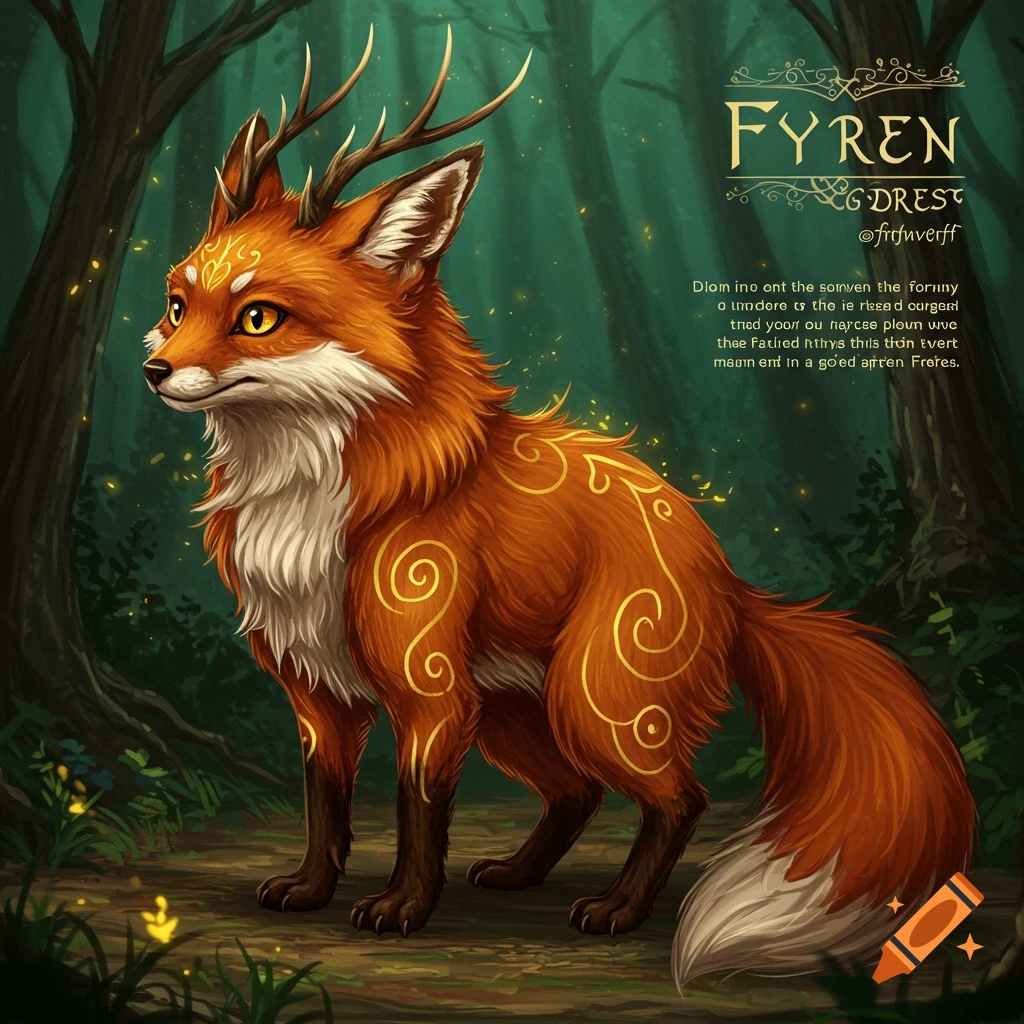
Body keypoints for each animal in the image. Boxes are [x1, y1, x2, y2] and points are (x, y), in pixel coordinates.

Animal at [142, 27, 974, 990]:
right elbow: (327, 801)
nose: (153, 370)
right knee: (578, 791)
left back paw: (618, 910)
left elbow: (417, 809)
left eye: (259, 319)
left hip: (596, 696)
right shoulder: (314, 686)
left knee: (677, 798)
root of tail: (728, 577)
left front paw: (402, 910)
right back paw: (518, 873)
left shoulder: (429, 690)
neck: (312, 505)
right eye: (177, 305)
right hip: (517, 711)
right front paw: (312, 890)